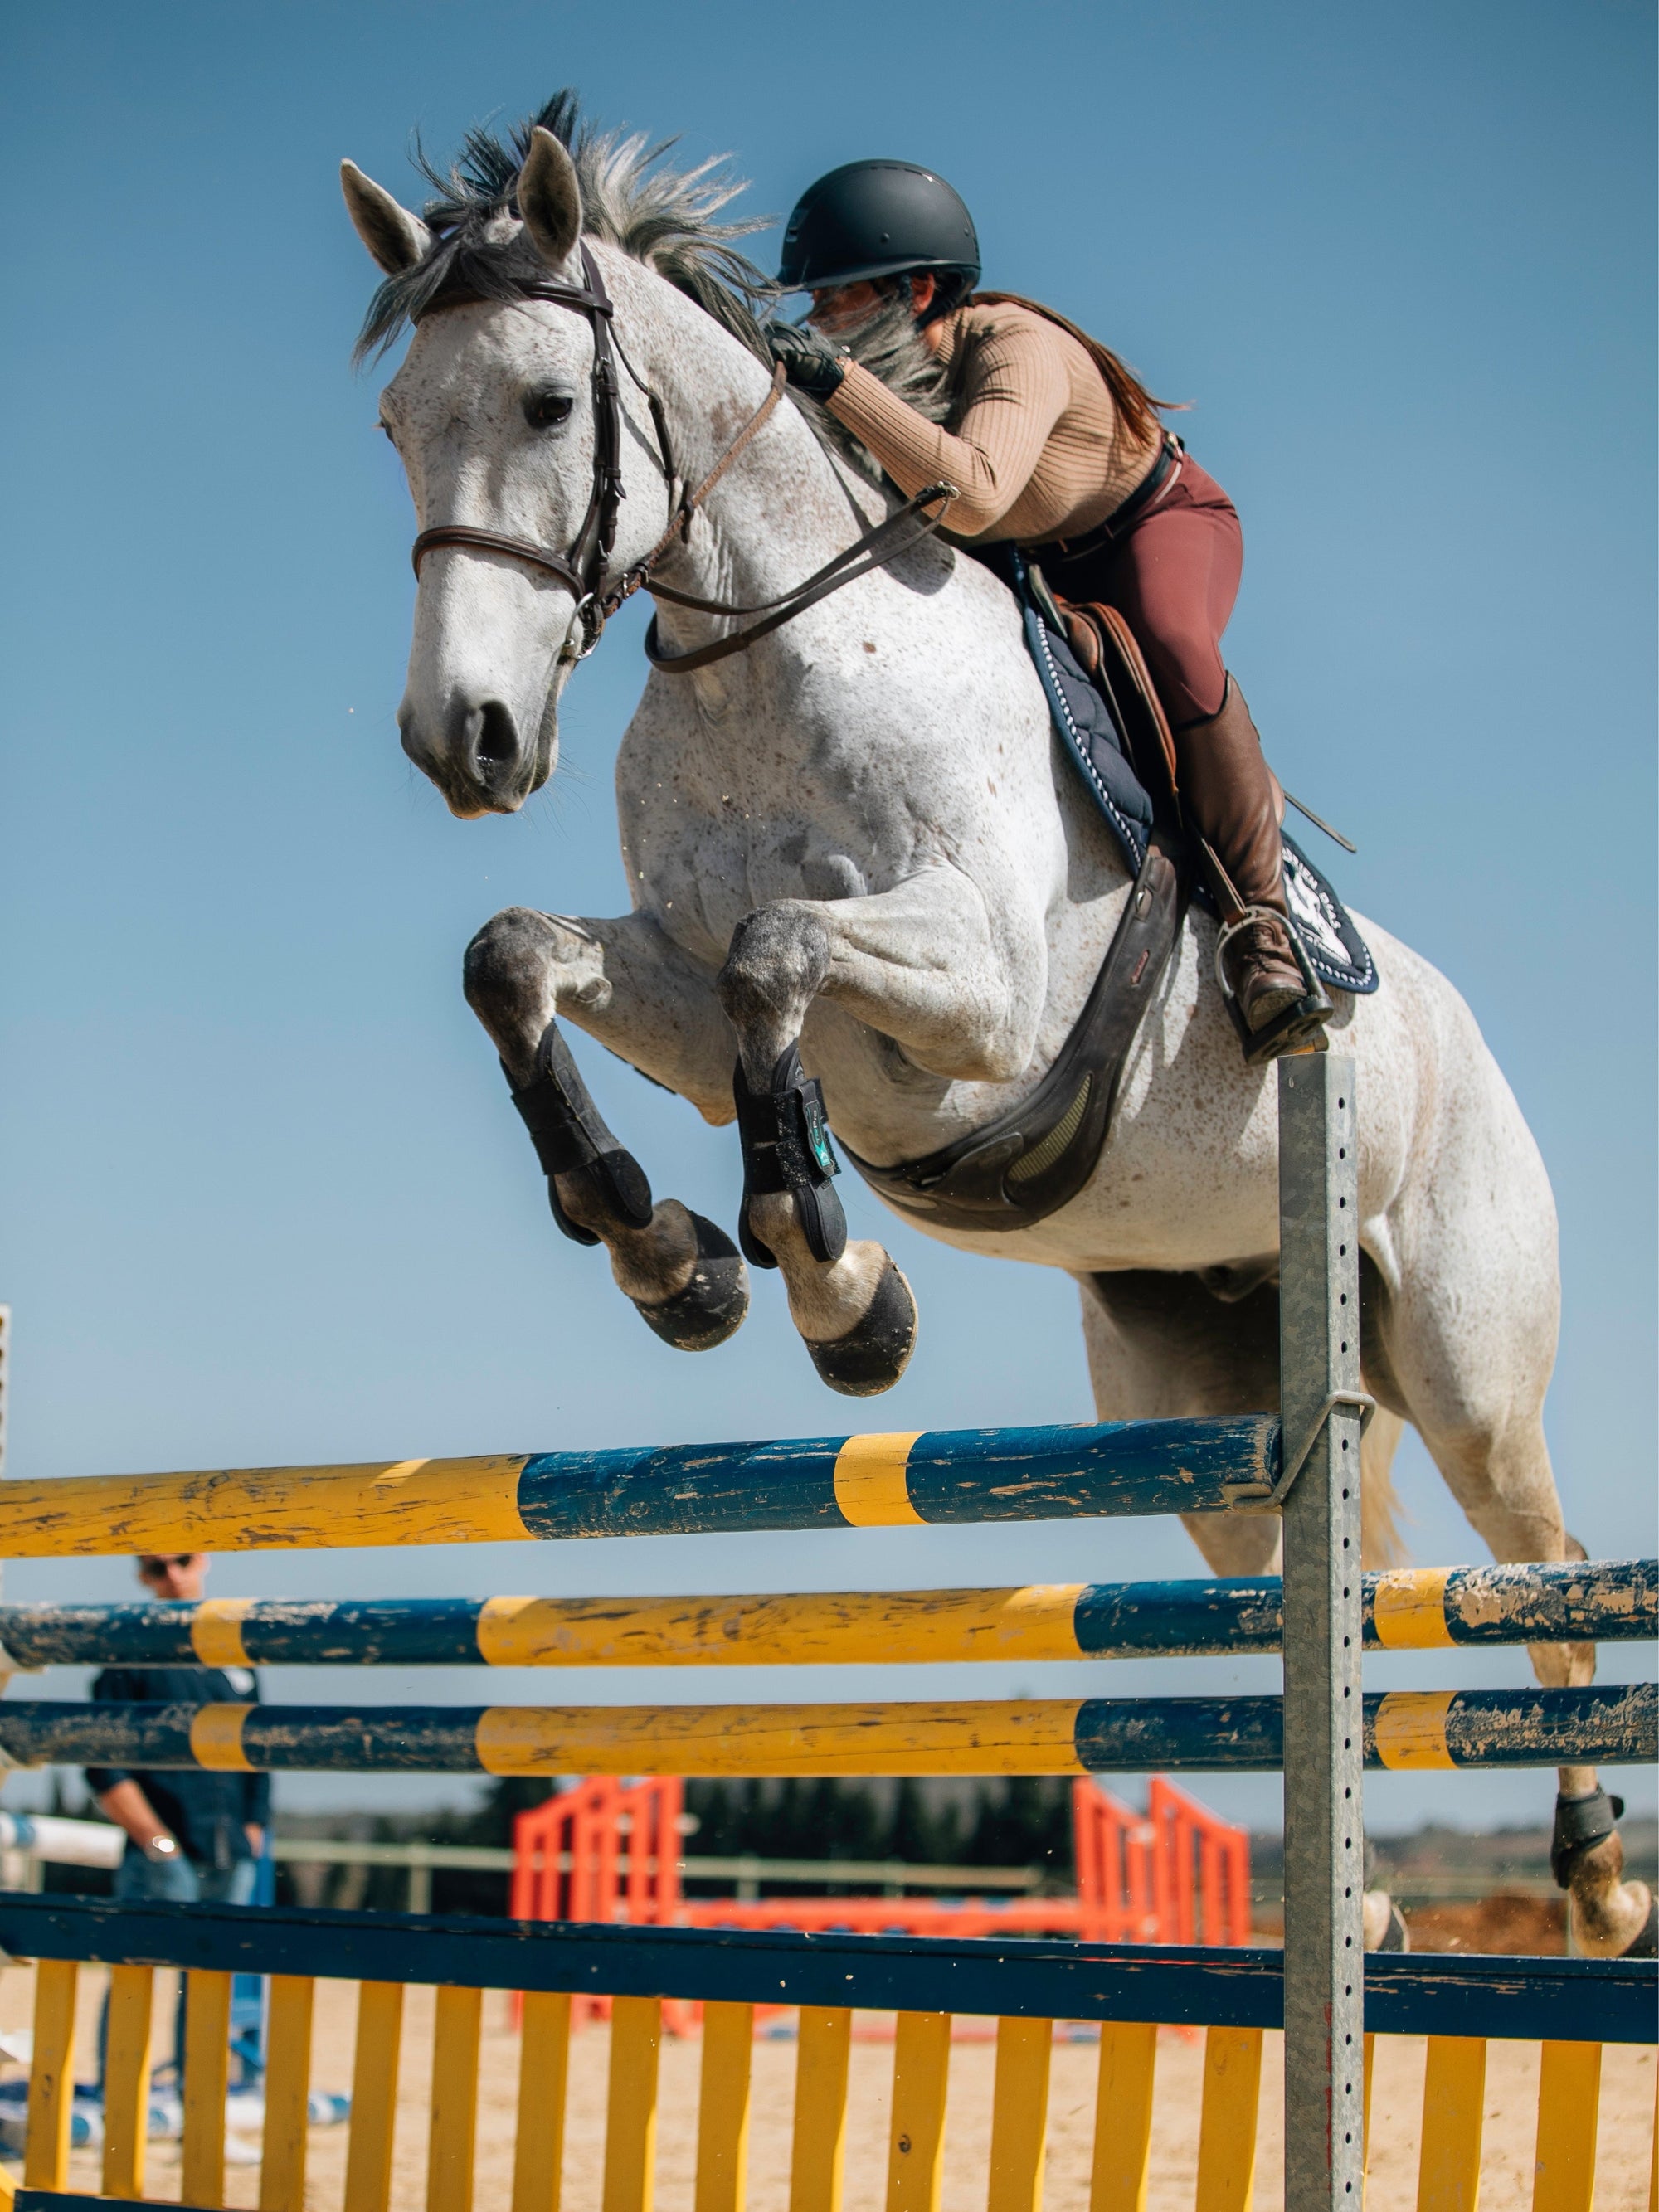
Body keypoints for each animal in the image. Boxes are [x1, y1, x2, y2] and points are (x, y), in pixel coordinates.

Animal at [339, 95, 1651, 1958]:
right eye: (396, 425)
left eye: (542, 404)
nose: (467, 739)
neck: (769, 655)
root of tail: (1463, 1034)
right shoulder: (674, 982)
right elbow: (517, 959)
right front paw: (670, 1253)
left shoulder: (986, 1002)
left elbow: (774, 957)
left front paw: (834, 1287)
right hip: (1202, 1410)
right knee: (1299, 1598)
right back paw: (1372, 1912)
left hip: (1472, 1365)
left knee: (1536, 1574)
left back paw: (1598, 1877)